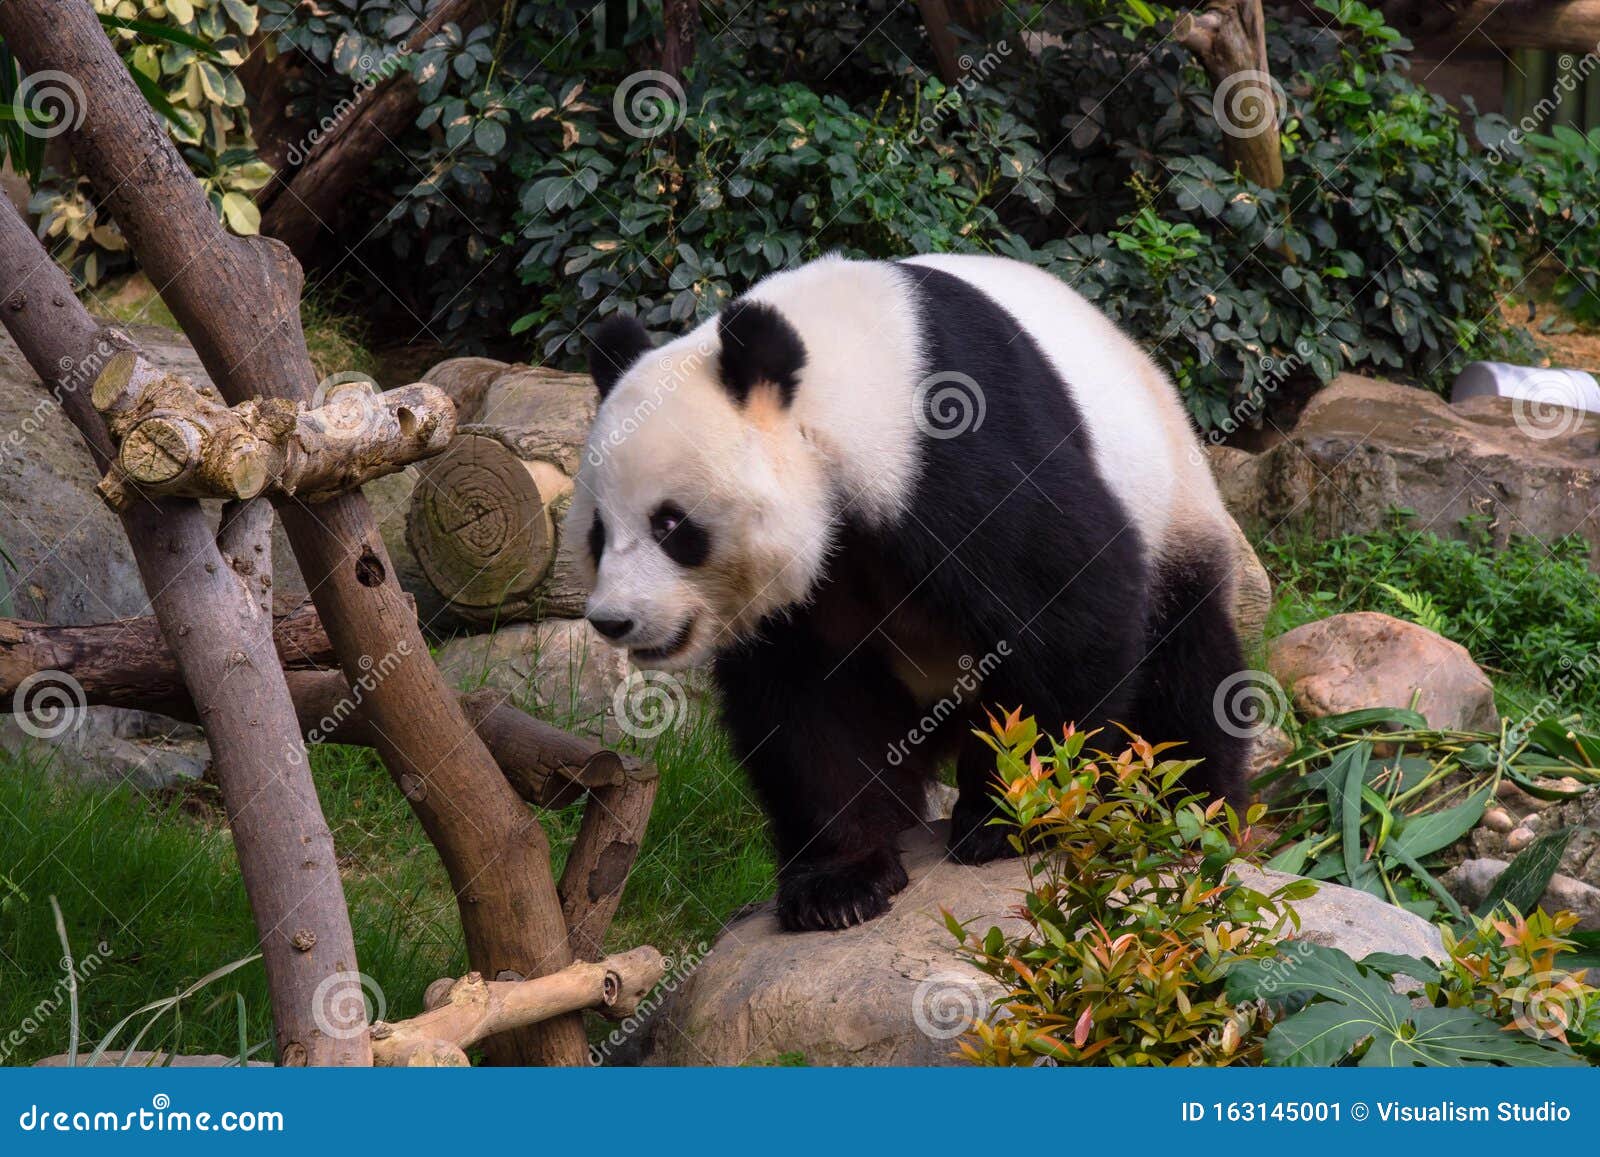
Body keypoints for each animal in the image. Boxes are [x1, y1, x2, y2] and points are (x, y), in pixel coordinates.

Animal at [571, 253, 1251, 932]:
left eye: (671, 526)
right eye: (599, 532)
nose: (614, 621)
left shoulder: (957, 448)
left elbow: (1068, 614)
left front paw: (1005, 820)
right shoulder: (808, 592)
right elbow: (807, 706)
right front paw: (838, 884)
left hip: (1172, 506)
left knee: (1186, 673)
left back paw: (1188, 813)